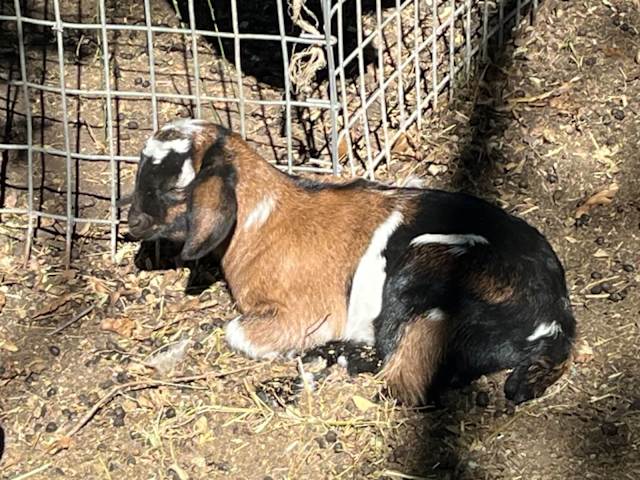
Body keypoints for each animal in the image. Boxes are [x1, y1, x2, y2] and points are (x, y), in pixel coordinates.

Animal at [125, 119, 576, 405]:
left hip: (427, 263)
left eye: (173, 186)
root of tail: (553, 320)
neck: (261, 220)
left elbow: (235, 331)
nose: (132, 224)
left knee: (406, 378)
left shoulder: (304, 313)